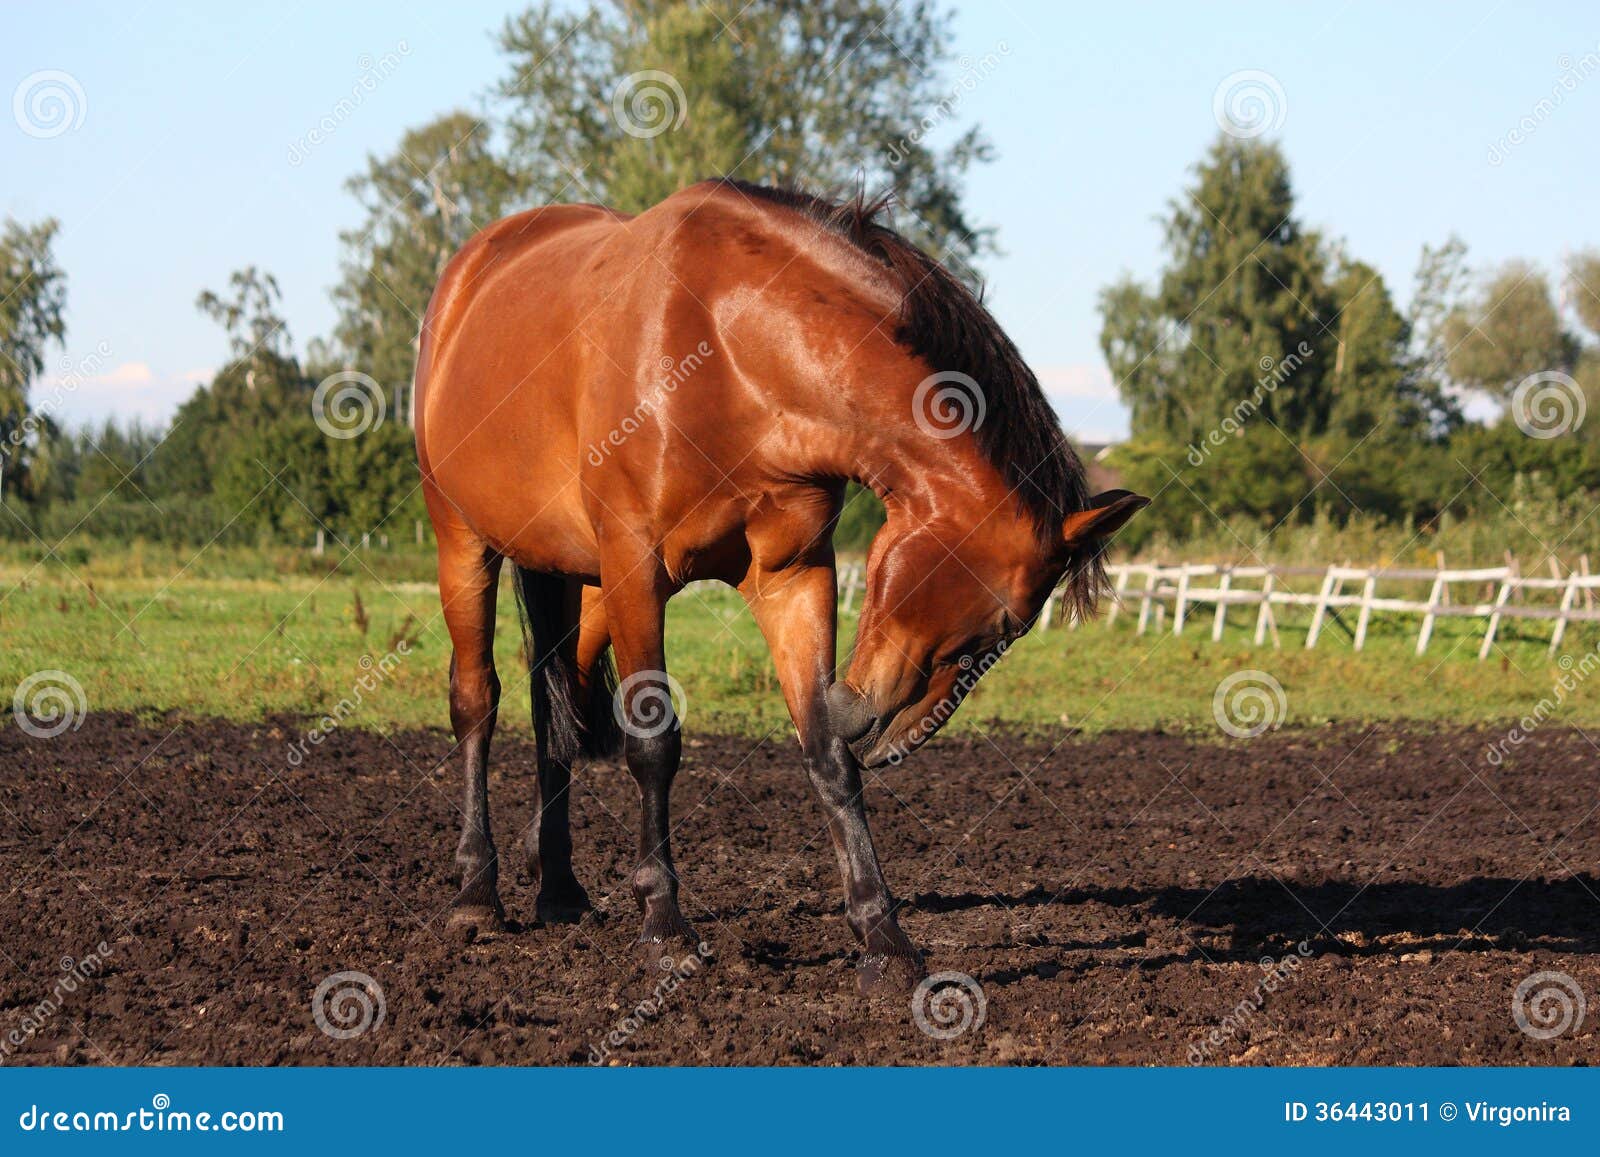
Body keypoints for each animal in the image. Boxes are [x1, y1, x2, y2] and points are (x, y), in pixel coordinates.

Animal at [414, 179, 1147, 993]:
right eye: (1001, 624)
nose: (882, 731)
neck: (729, 348)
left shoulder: (792, 577)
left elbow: (825, 753)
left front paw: (882, 936)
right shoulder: (637, 571)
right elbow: (652, 745)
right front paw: (665, 925)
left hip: (576, 576)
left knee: (557, 710)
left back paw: (560, 888)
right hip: (467, 543)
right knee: (477, 702)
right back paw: (476, 894)